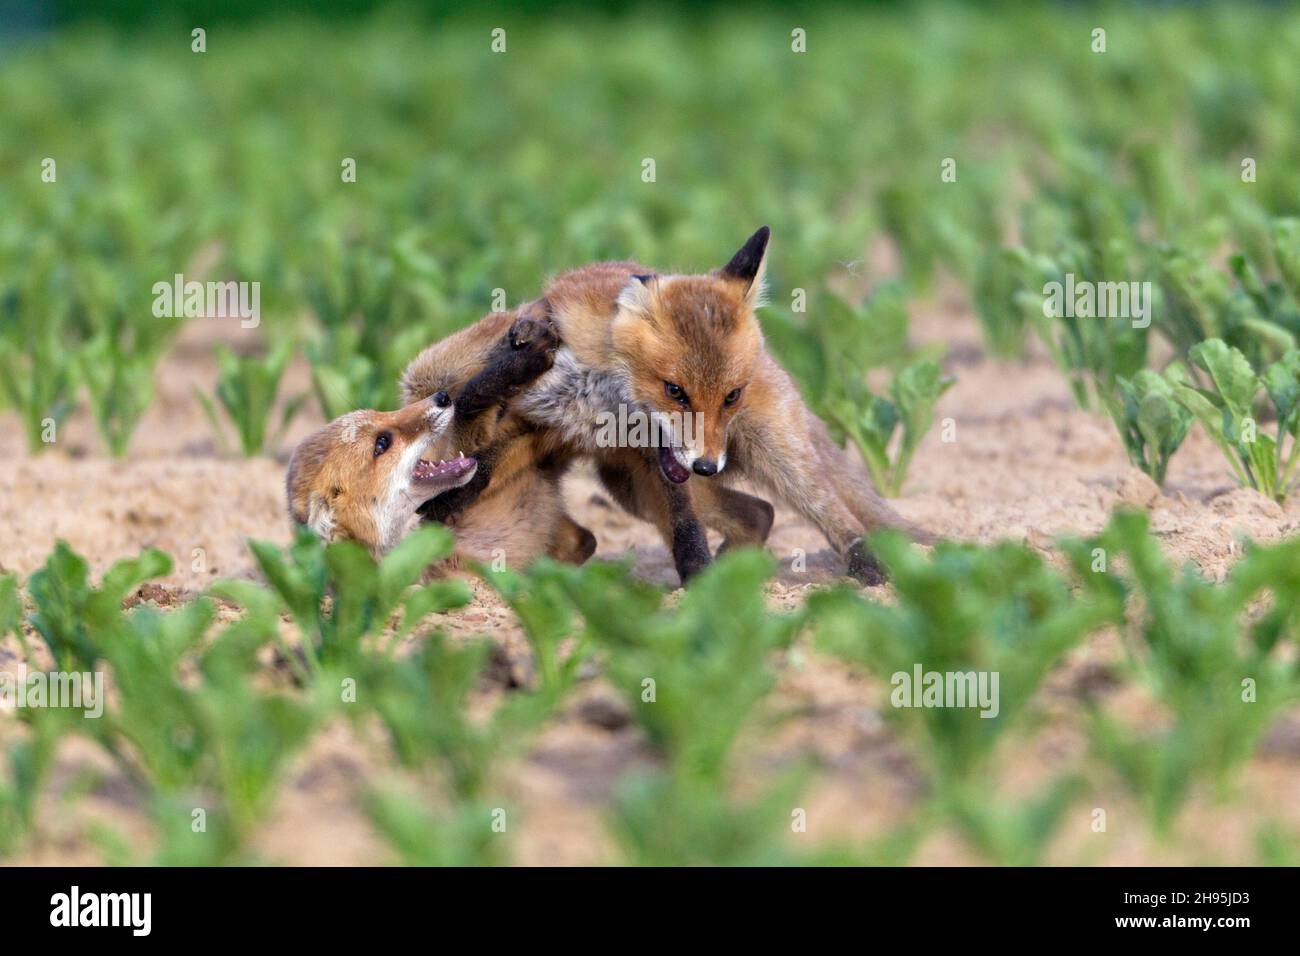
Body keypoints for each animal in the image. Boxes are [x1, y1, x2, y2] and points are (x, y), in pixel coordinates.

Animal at [507, 225, 934, 584]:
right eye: (674, 390)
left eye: (731, 396)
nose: (707, 466)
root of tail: (776, 366)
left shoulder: (668, 470)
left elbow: (686, 526)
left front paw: (696, 584)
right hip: (630, 488)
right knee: (761, 513)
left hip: (778, 456)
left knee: (832, 513)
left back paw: (869, 569)